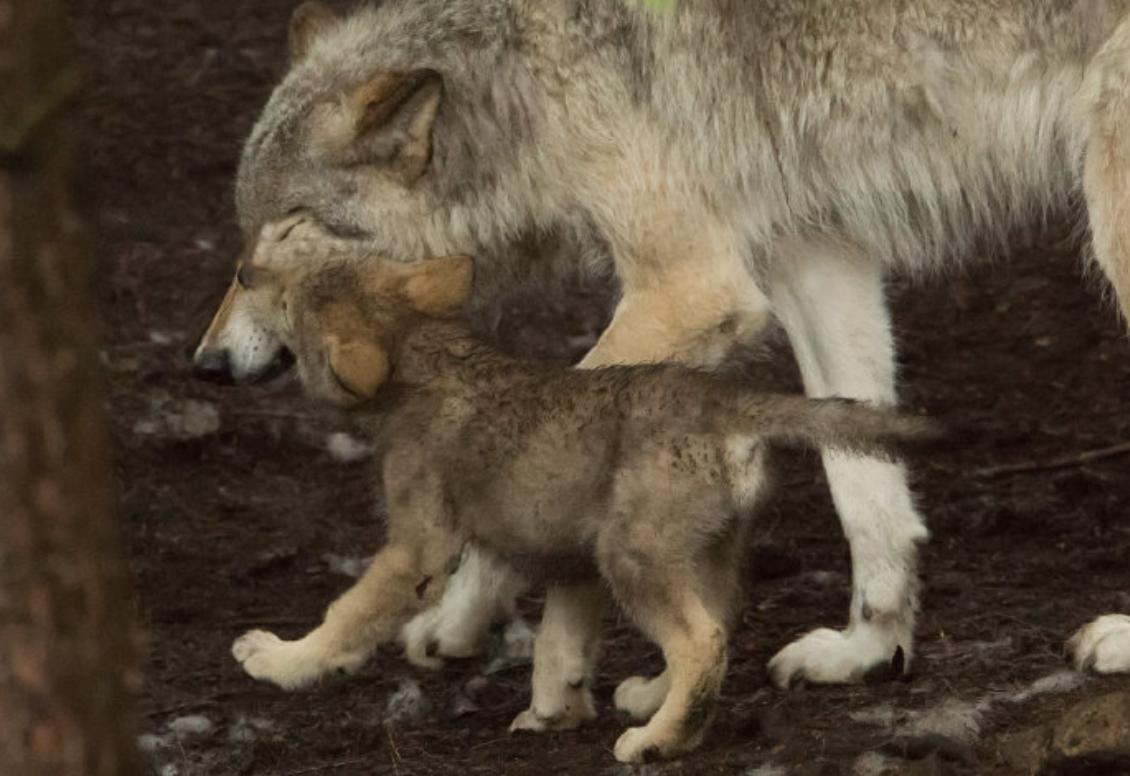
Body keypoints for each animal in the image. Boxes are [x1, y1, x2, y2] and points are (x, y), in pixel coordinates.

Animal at [203, 231, 935, 761]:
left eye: (288, 297)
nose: (244, 271)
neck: (430, 361)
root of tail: (726, 401)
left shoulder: (420, 550)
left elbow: (347, 615)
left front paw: (280, 659)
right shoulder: (570, 552)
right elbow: (561, 642)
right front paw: (554, 711)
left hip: (632, 558)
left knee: (702, 640)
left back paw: (657, 741)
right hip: (695, 553)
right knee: (720, 625)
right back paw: (654, 700)